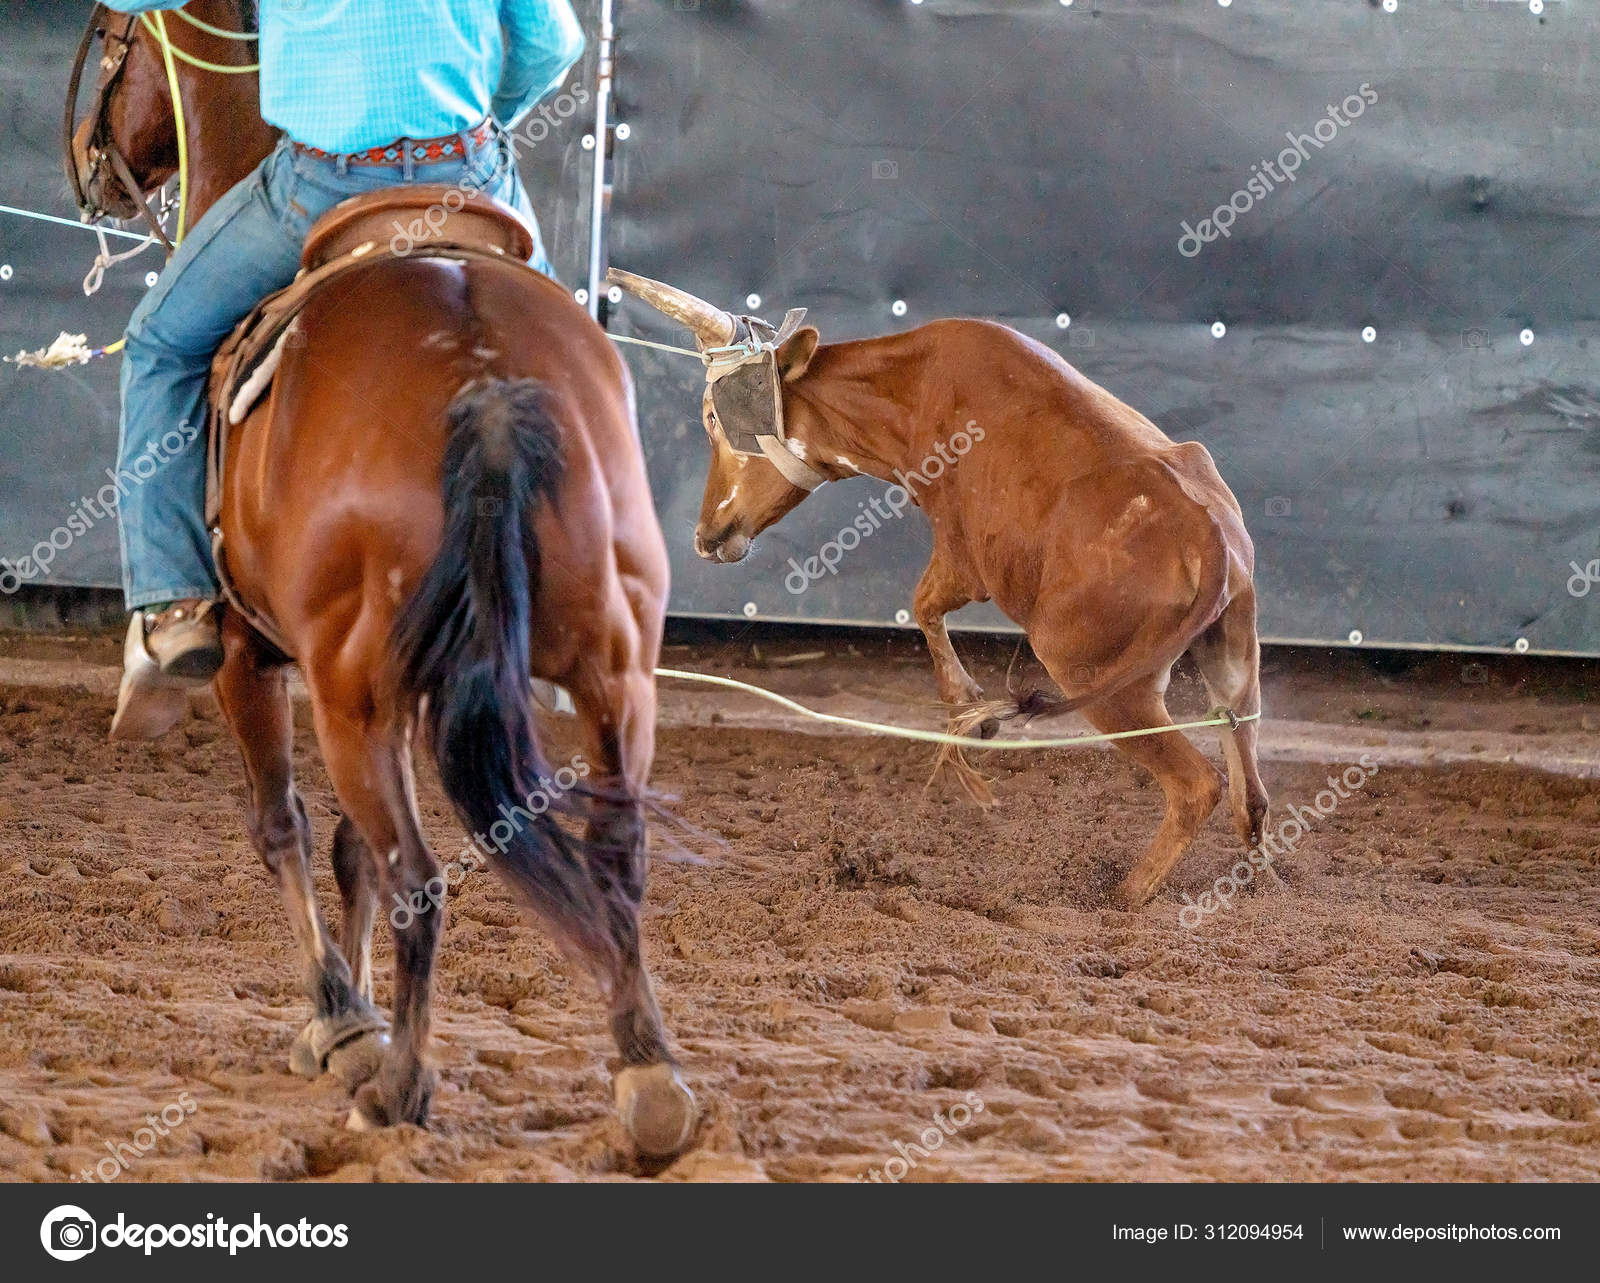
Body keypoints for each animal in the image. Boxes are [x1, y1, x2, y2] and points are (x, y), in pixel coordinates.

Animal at [609, 269, 1268, 909]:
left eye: (713, 419)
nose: (705, 535)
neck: (911, 383)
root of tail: (1208, 533)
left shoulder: (960, 555)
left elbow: (924, 605)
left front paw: (968, 709)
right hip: (1232, 653)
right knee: (1246, 776)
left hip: (1101, 677)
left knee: (1196, 785)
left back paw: (1124, 894)